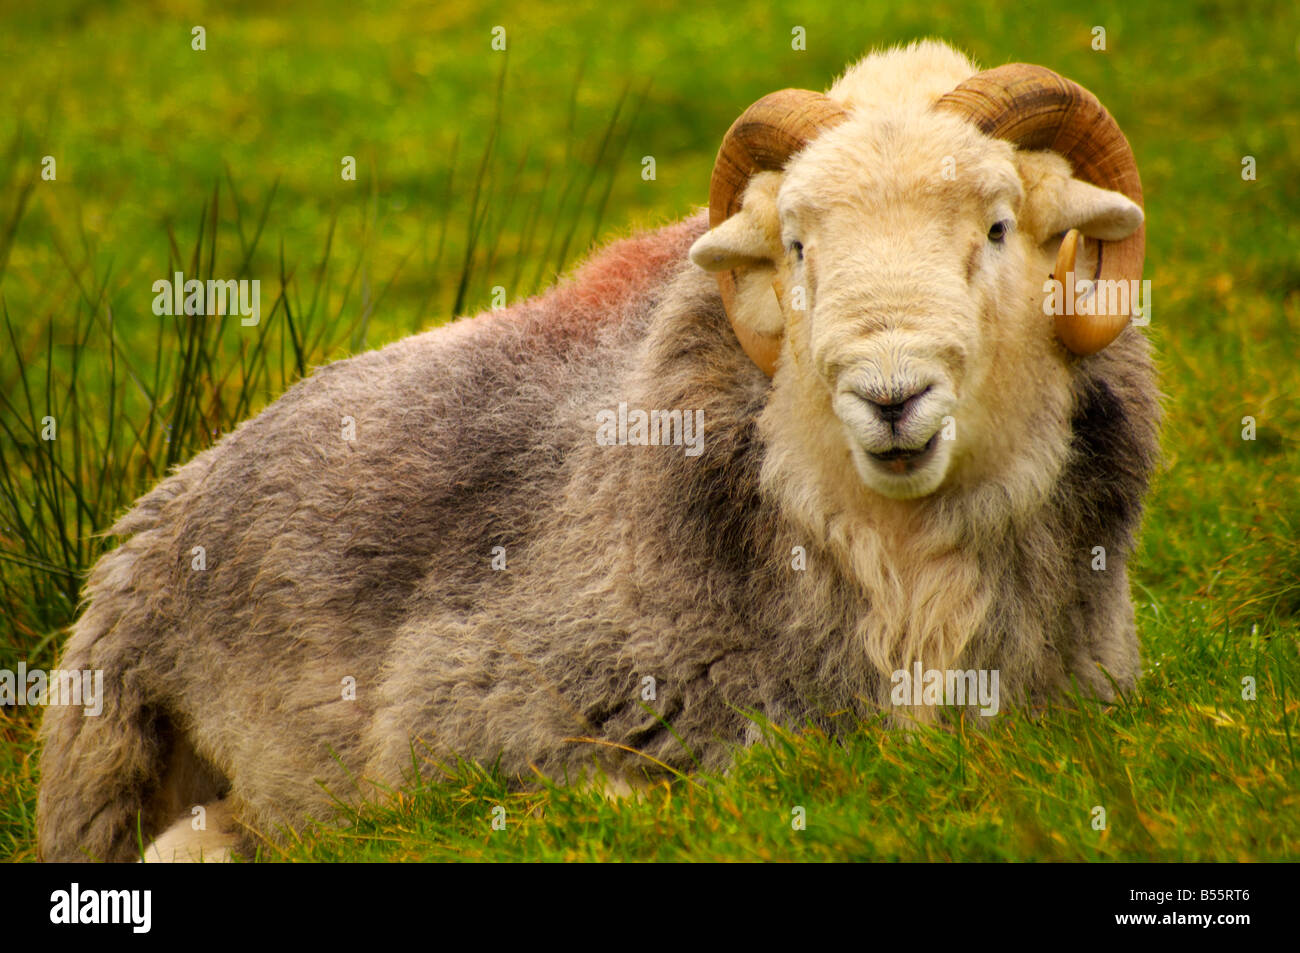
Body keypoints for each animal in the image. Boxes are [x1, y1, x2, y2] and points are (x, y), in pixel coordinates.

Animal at [37, 39, 1159, 862]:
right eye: (797, 246)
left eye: (1000, 227)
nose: (890, 397)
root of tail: (171, 492)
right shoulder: (466, 721)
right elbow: (626, 792)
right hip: (107, 747)